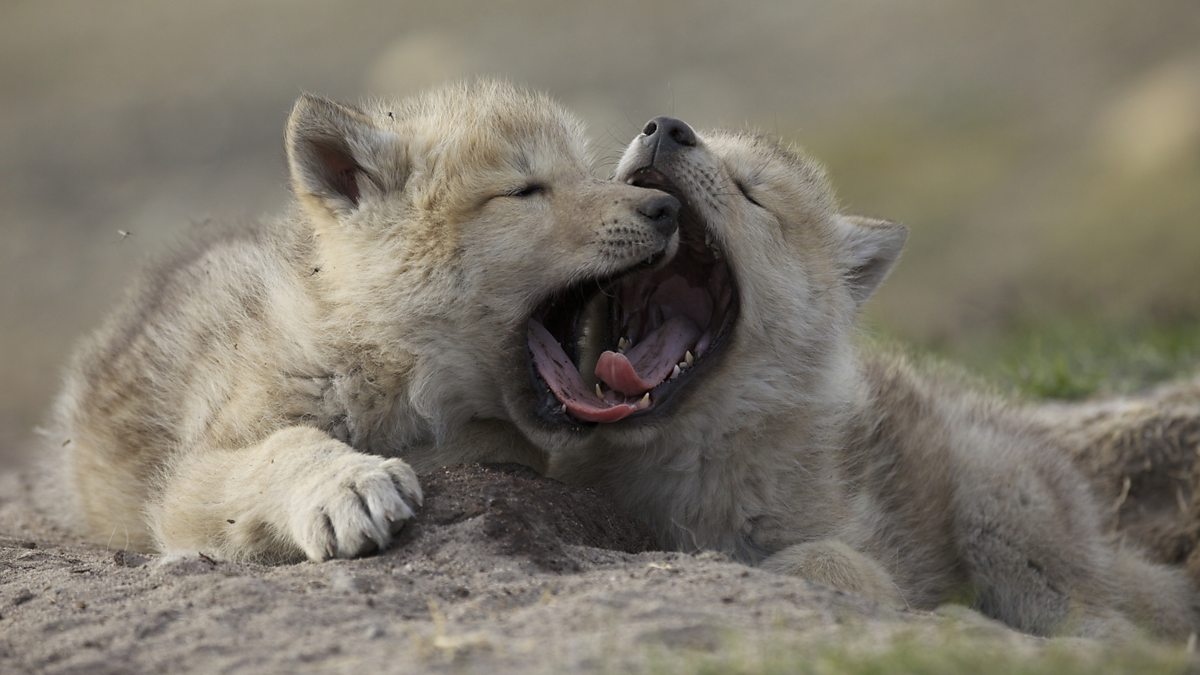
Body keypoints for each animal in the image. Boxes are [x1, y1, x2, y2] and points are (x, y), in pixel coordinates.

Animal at [52, 81, 680, 563]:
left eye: (589, 176)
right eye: (525, 190)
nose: (667, 208)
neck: (385, 366)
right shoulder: (188, 482)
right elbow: (283, 445)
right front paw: (346, 485)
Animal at [498, 116, 1198, 639]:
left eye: (751, 192)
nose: (666, 127)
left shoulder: (866, 558)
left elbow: (827, 561)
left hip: (1002, 513)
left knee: (1106, 624)